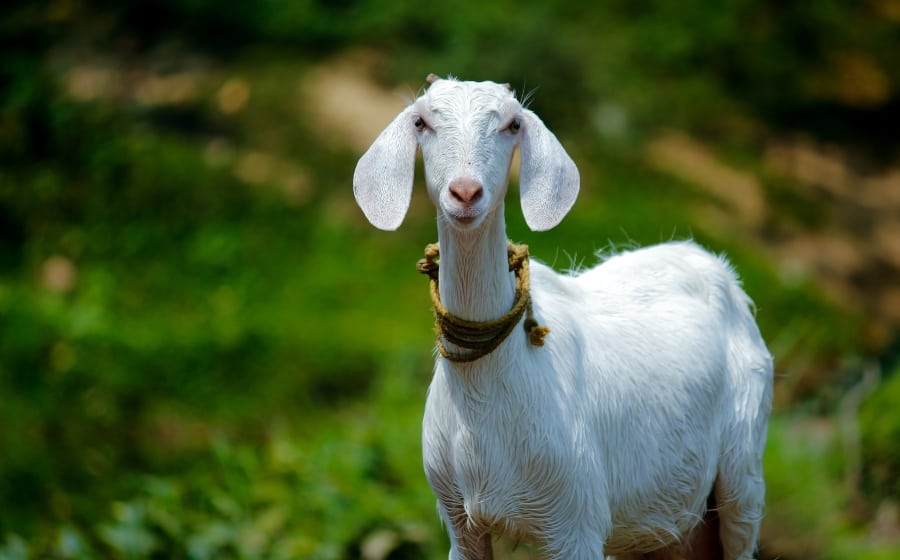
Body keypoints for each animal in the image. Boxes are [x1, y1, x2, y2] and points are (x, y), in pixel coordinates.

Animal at [353, 75, 773, 560]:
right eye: (421, 121)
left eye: (513, 124)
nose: (465, 193)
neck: (488, 392)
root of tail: (713, 264)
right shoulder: (460, 521)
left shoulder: (576, 521)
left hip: (744, 468)